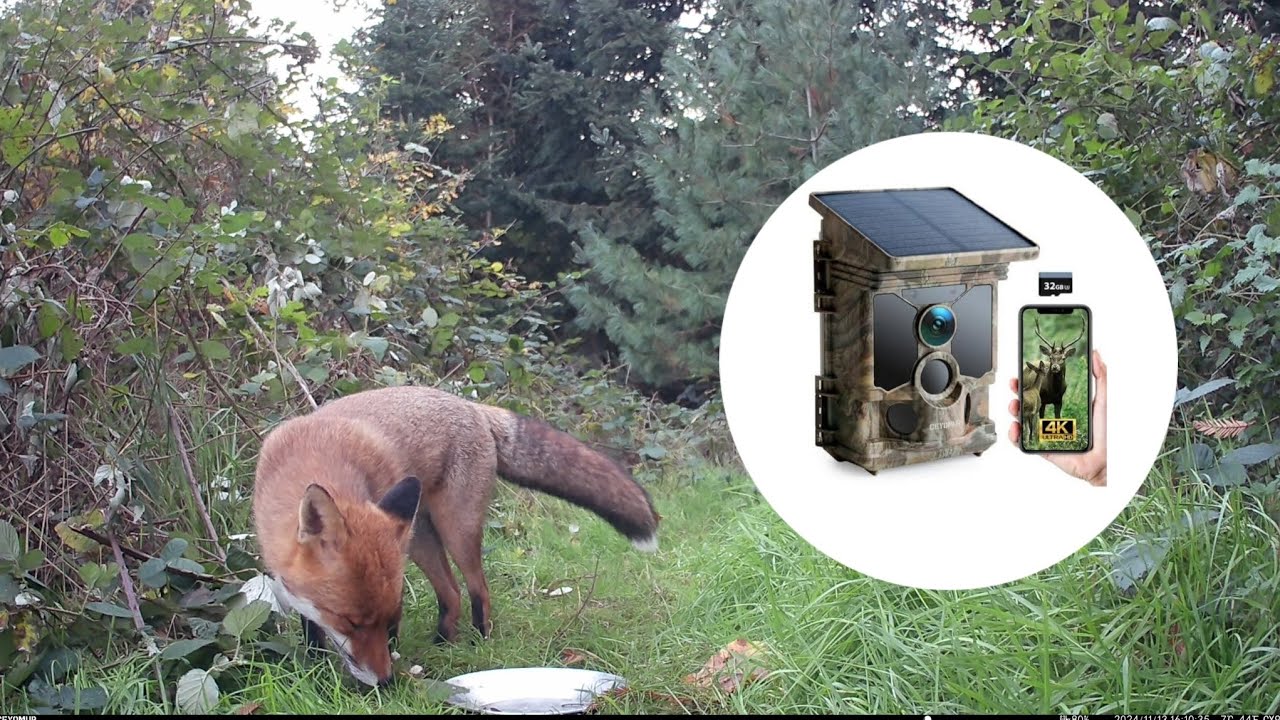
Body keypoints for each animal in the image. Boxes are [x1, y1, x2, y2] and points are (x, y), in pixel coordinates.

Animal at [250, 385, 661, 688]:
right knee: (451, 593)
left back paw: (478, 641)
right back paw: (442, 643)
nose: (385, 683)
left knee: (477, 589)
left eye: (385, 618)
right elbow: (312, 627)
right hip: (418, 537)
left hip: (454, 530)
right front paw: (316, 669)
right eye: (350, 622)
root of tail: (472, 406)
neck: (314, 455)